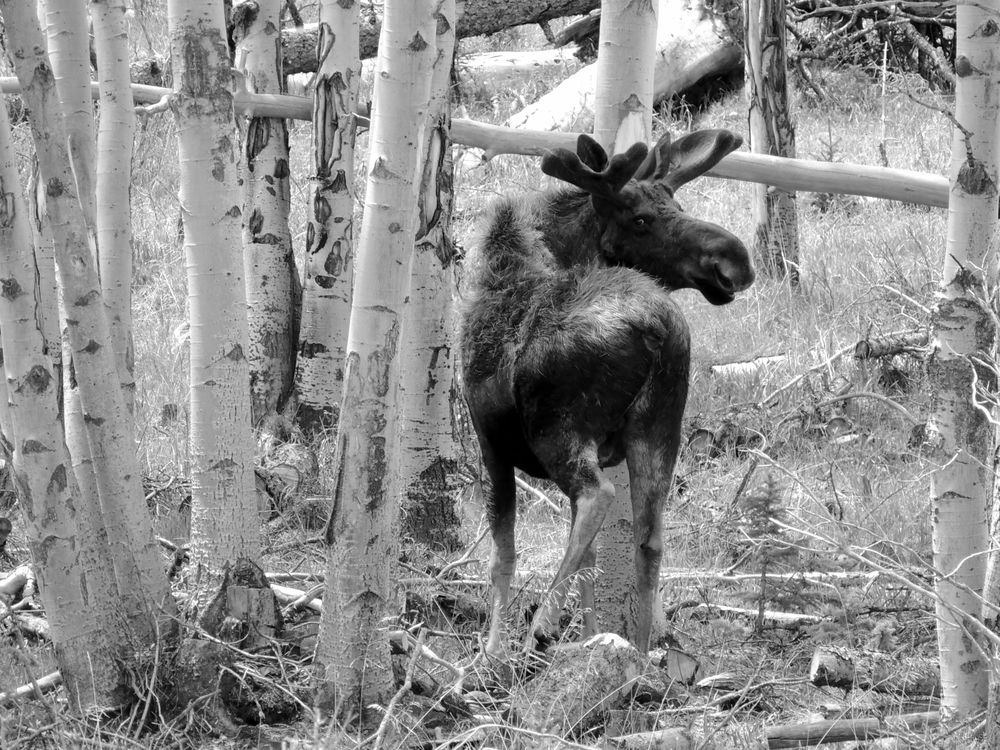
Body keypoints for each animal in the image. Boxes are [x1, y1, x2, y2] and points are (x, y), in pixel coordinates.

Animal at [460, 128, 755, 657]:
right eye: (641, 218)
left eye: (675, 204)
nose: (734, 259)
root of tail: (659, 327)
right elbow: (592, 563)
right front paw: (590, 633)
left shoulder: (488, 438)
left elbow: (503, 553)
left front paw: (491, 652)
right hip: (660, 429)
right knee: (649, 535)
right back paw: (640, 650)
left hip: (559, 430)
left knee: (597, 496)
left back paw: (544, 625)